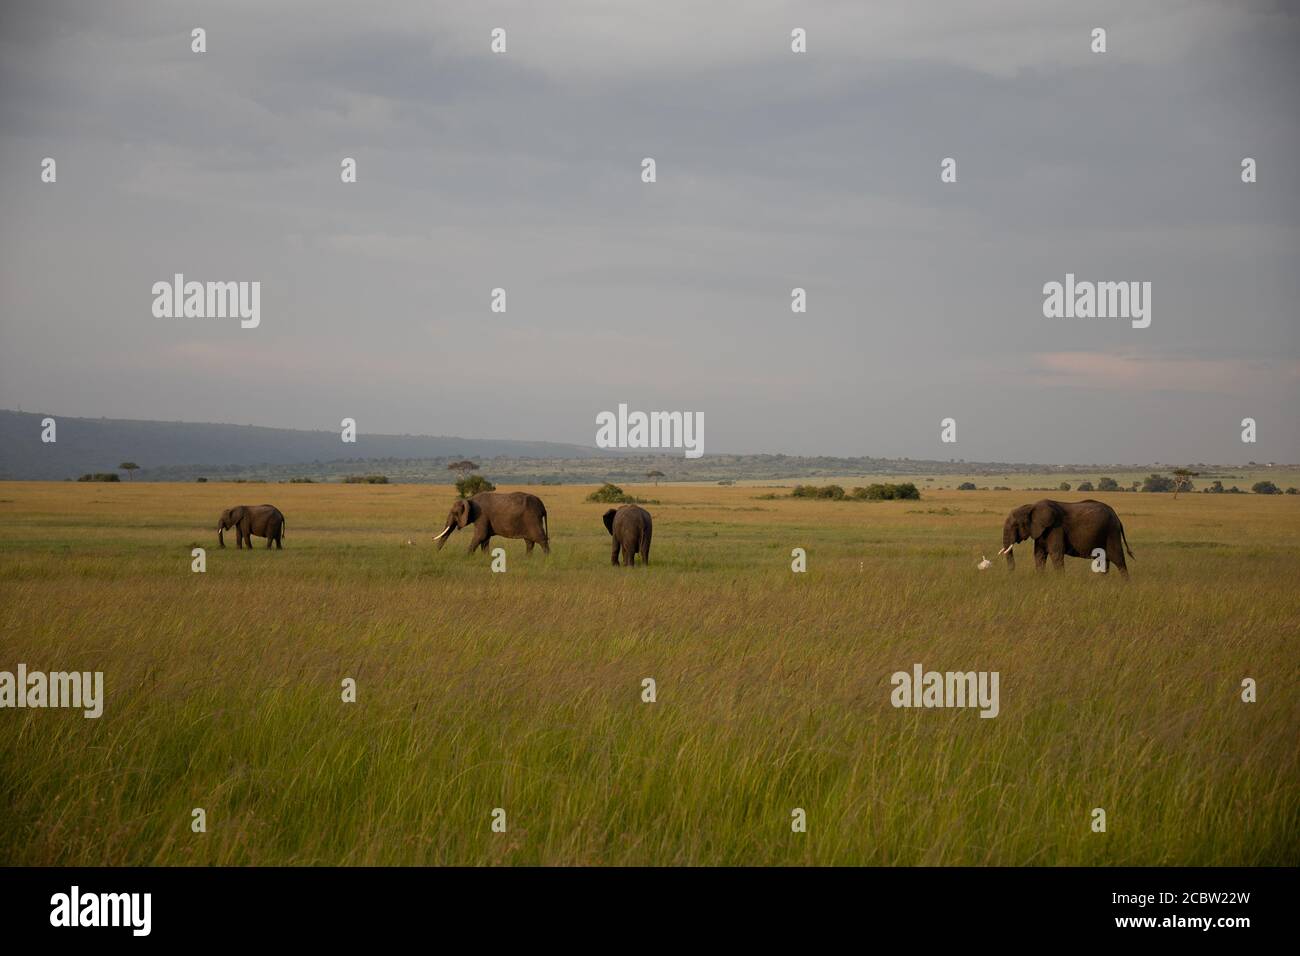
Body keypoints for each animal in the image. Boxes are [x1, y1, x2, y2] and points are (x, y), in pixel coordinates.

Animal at [999, 499, 1133, 576]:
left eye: (1016, 525)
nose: (1011, 573)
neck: (1031, 507)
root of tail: (1117, 517)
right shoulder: (1041, 531)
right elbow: (1039, 554)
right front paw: (1040, 578)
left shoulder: (1055, 528)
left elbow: (1056, 554)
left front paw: (1060, 581)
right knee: (1103, 560)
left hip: (1111, 532)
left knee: (1118, 560)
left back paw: (1125, 584)